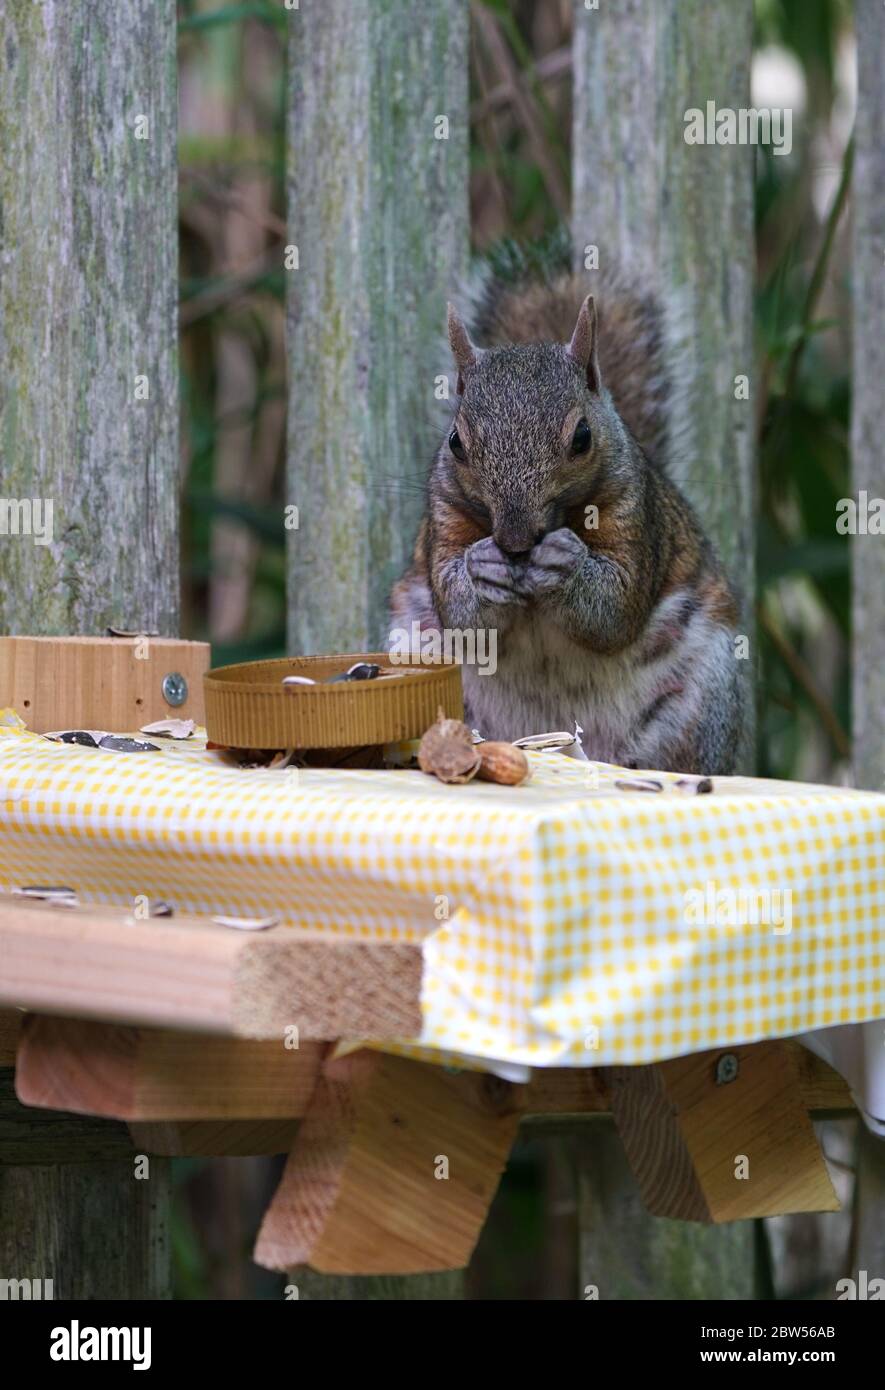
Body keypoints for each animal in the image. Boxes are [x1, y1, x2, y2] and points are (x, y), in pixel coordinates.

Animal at [389, 244, 744, 775]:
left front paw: (565, 564)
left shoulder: (635, 515)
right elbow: (461, 615)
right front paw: (482, 568)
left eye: (582, 438)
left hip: (701, 703)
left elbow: (615, 611)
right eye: (455, 442)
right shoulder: (444, 512)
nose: (515, 543)